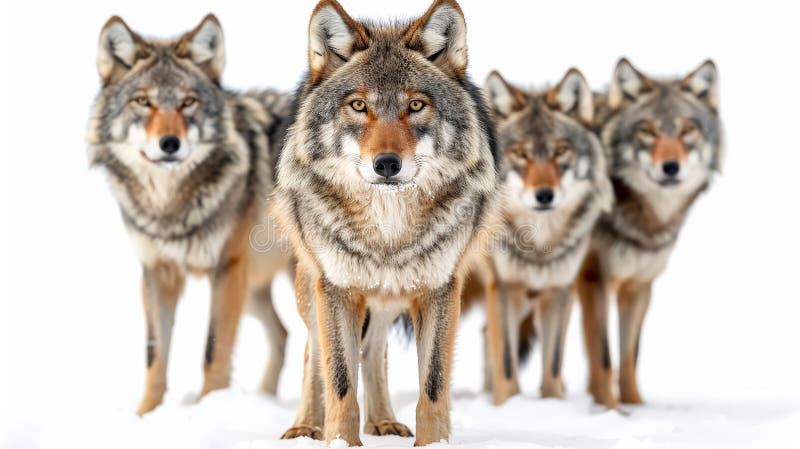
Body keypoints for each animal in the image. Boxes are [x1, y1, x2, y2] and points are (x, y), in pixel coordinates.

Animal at [87, 14, 293, 415]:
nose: (170, 144)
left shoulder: (226, 269)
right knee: (285, 334)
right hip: (254, 291)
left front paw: (210, 407)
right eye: (143, 101)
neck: (171, 208)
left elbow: (214, 350)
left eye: (187, 102)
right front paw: (146, 415)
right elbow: (155, 355)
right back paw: (267, 401)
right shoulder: (158, 273)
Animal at [272, 0, 501, 445]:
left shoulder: (439, 289)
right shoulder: (337, 287)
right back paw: (305, 426)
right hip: (315, 286)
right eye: (359, 106)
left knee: (374, 349)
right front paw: (340, 442)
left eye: (416, 105)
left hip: (387, 296)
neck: (388, 229)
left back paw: (382, 421)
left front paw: (434, 444)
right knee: (314, 352)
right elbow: (340, 380)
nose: (387, 164)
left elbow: (433, 386)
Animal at [461, 69, 612, 405]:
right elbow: (506, 364)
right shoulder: (503, 288)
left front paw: (552, 404)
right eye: (520, 154)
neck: (539, 245)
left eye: (560, 151)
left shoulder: (559, 289)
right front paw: (507, 406)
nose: (544, 195)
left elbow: (552, 363)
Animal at [577, 58, 723, 407]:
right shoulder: (594, 280)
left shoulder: (638, 286)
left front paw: (634, 405)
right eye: (648, 130)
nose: (670, 167)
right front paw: (610, 410)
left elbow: (630, 355)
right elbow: (603, 357)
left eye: (686, 130)